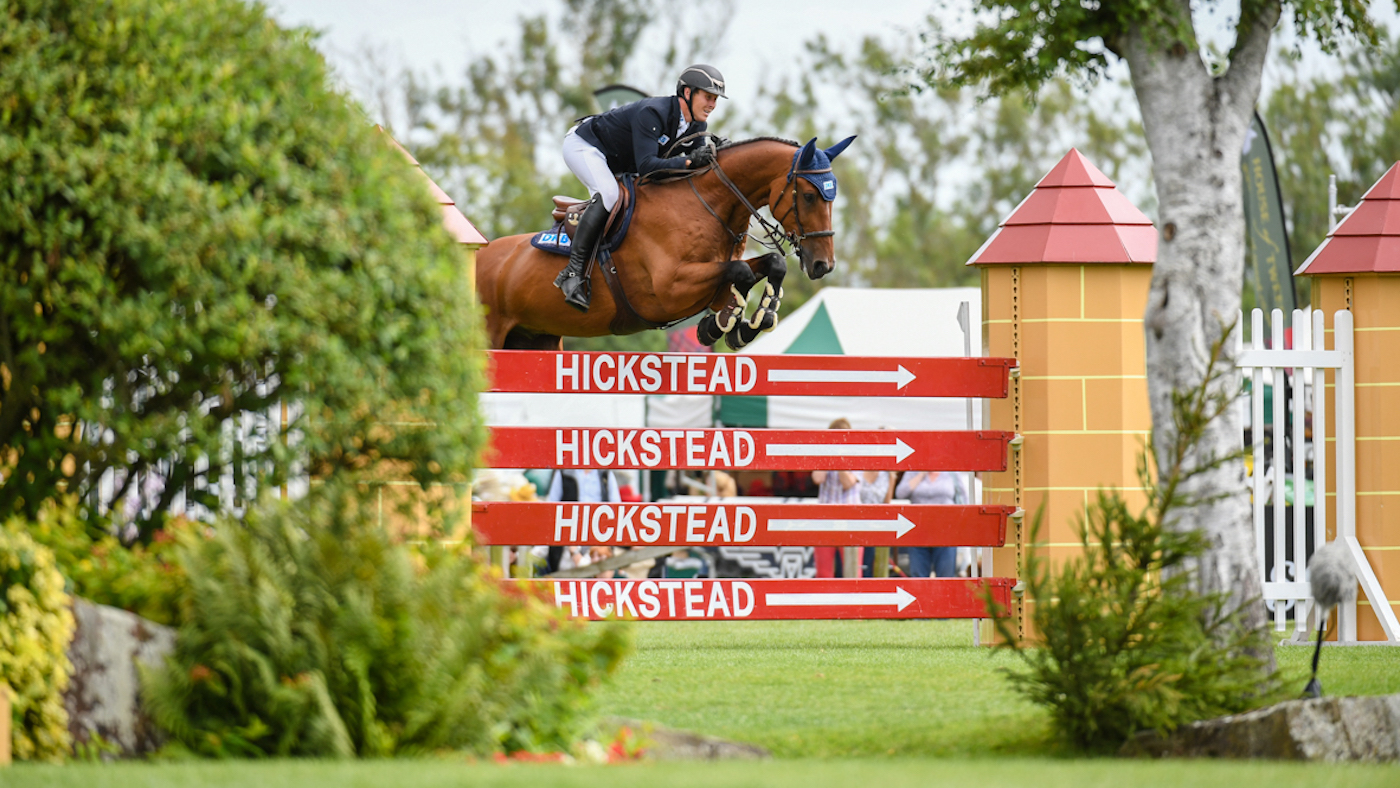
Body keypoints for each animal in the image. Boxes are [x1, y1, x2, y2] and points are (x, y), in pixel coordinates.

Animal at [474, 135, 855, 351]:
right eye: (809, 196)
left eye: (832, 196)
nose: (823, 265)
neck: (709, 203)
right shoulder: (669, 290)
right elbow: (741, 273)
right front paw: (721, 325)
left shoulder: (713, 283)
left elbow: (767, 265)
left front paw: (750, 323)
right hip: (491, 336)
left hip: (536, 339)